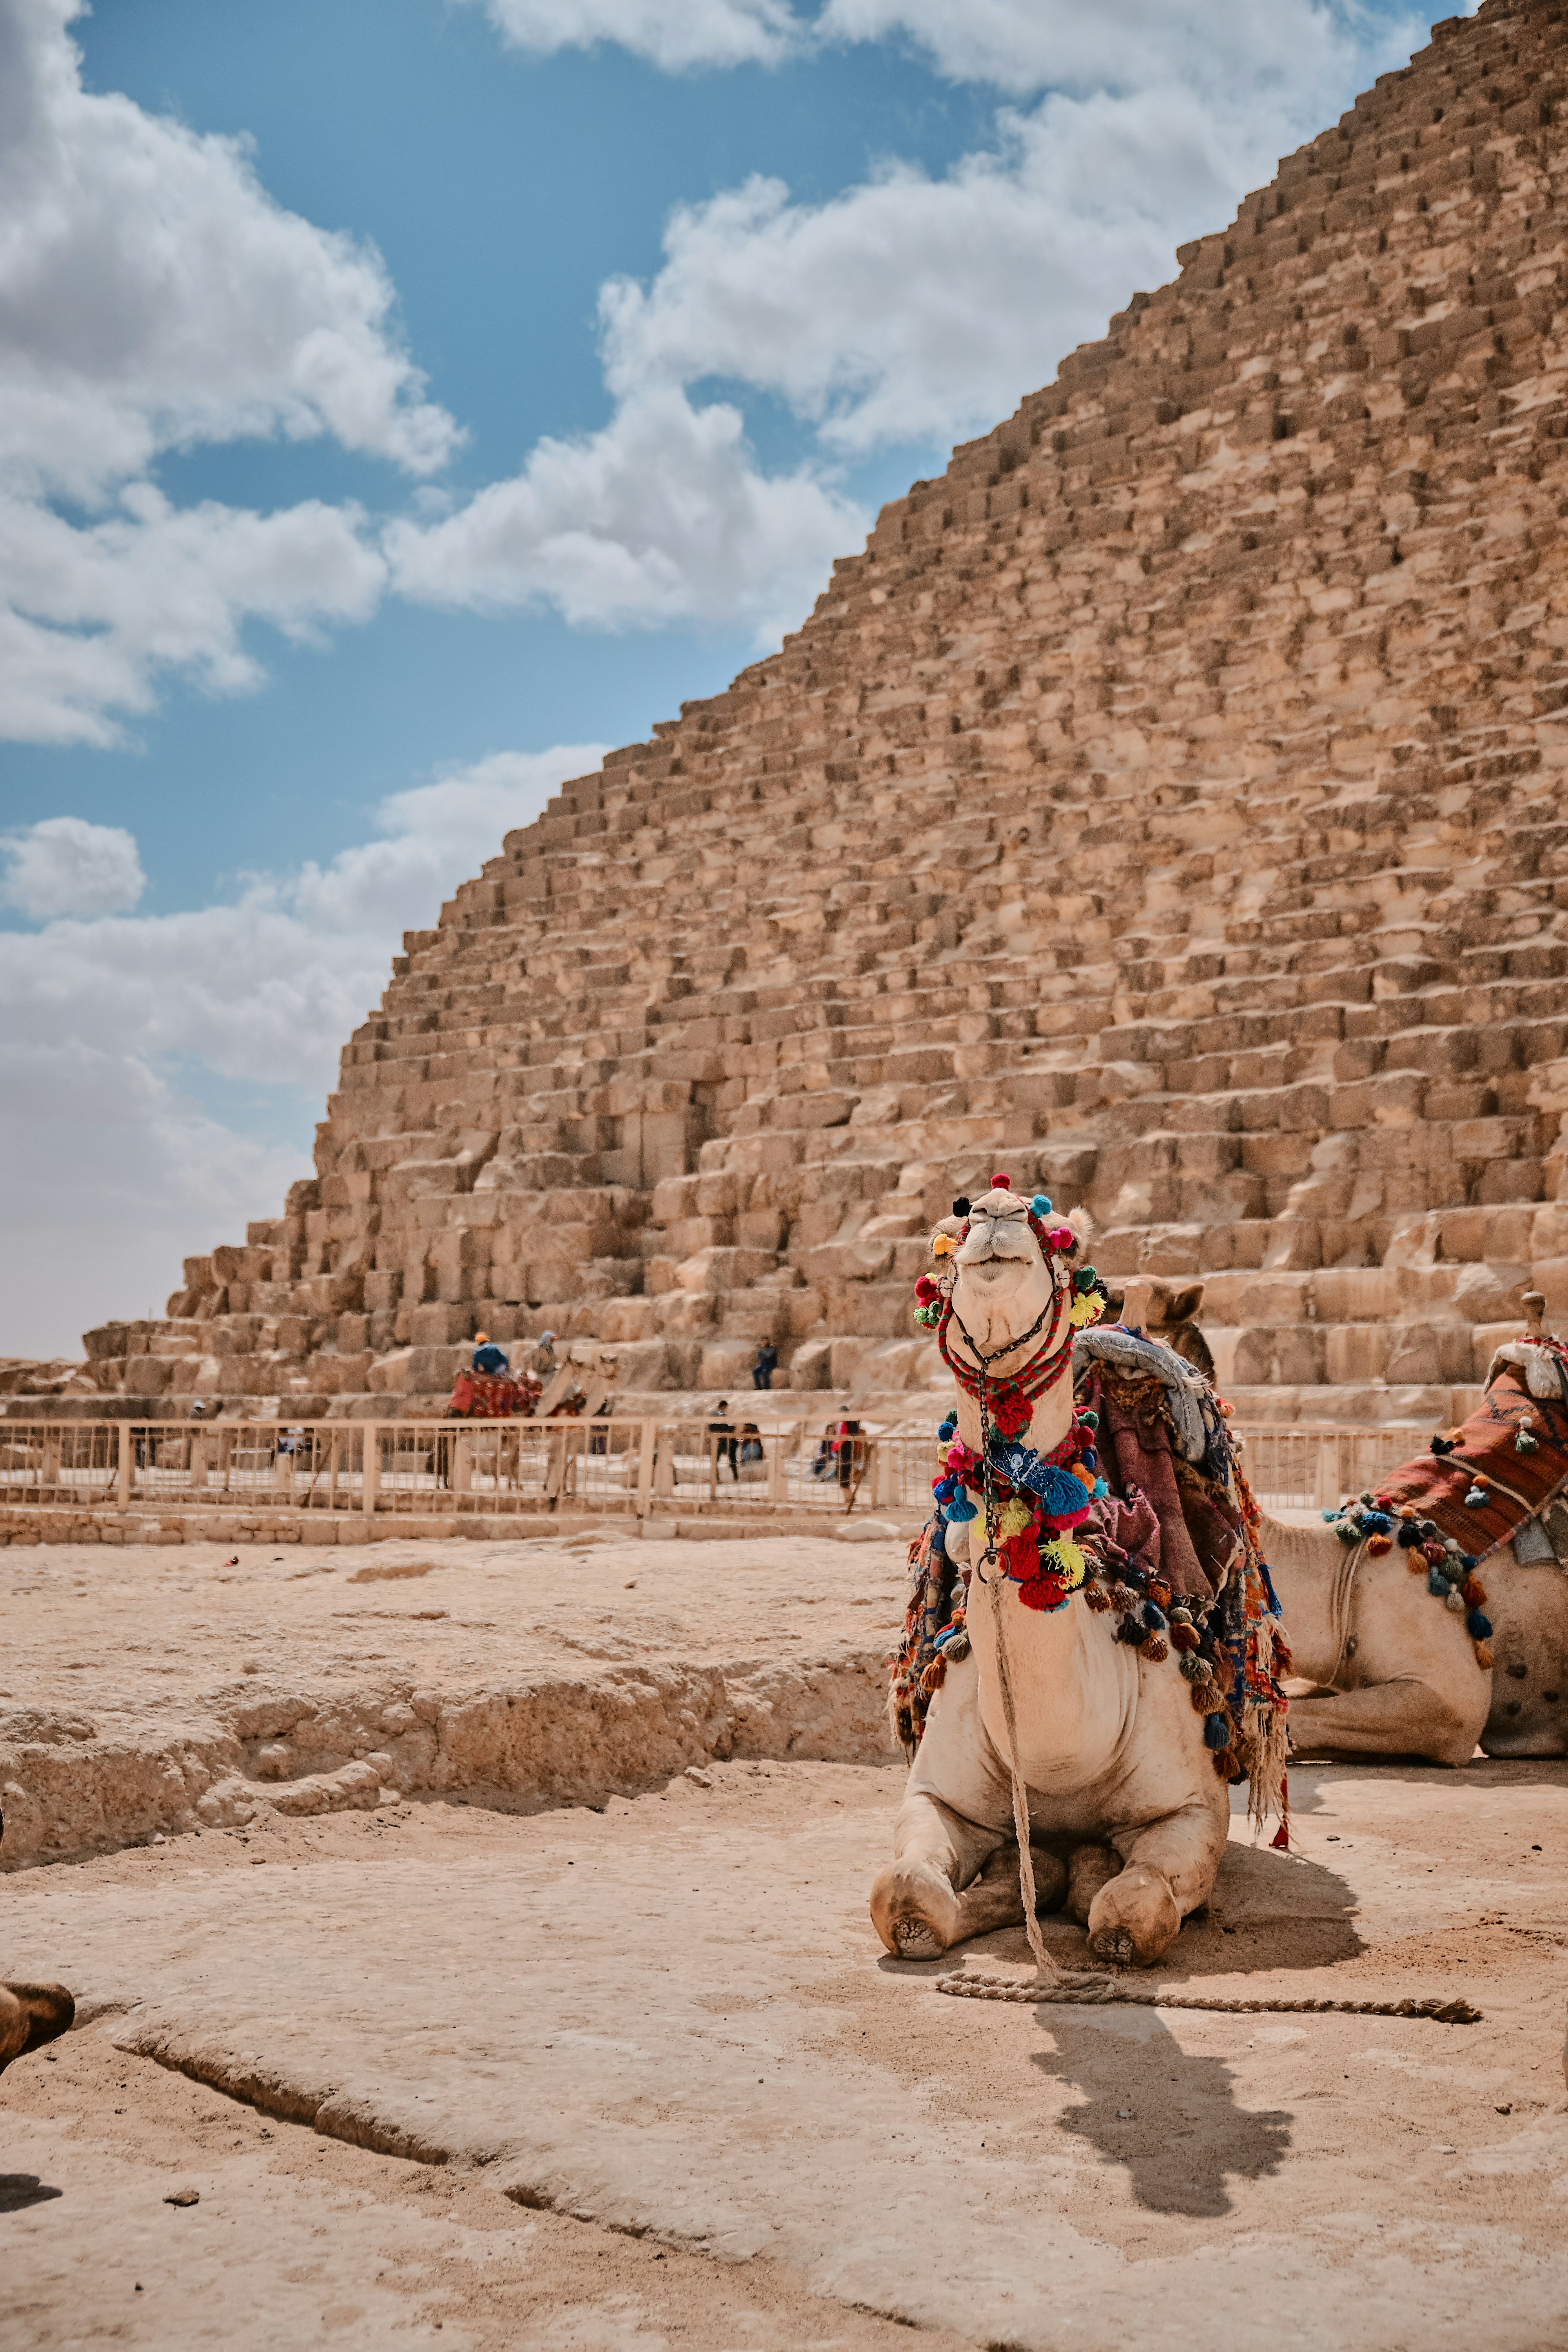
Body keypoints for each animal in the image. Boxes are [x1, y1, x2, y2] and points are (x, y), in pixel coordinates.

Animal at [870, 1183, 1286, 1970]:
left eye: (1066, 1239)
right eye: (948, 1229)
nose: (996, 1211)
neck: (1060, 1755)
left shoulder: (1192, 1811)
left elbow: (1132, 1913)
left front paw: (1090, 1878)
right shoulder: (934, 1796)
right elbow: (905, 1896)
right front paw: (1018, 1879)